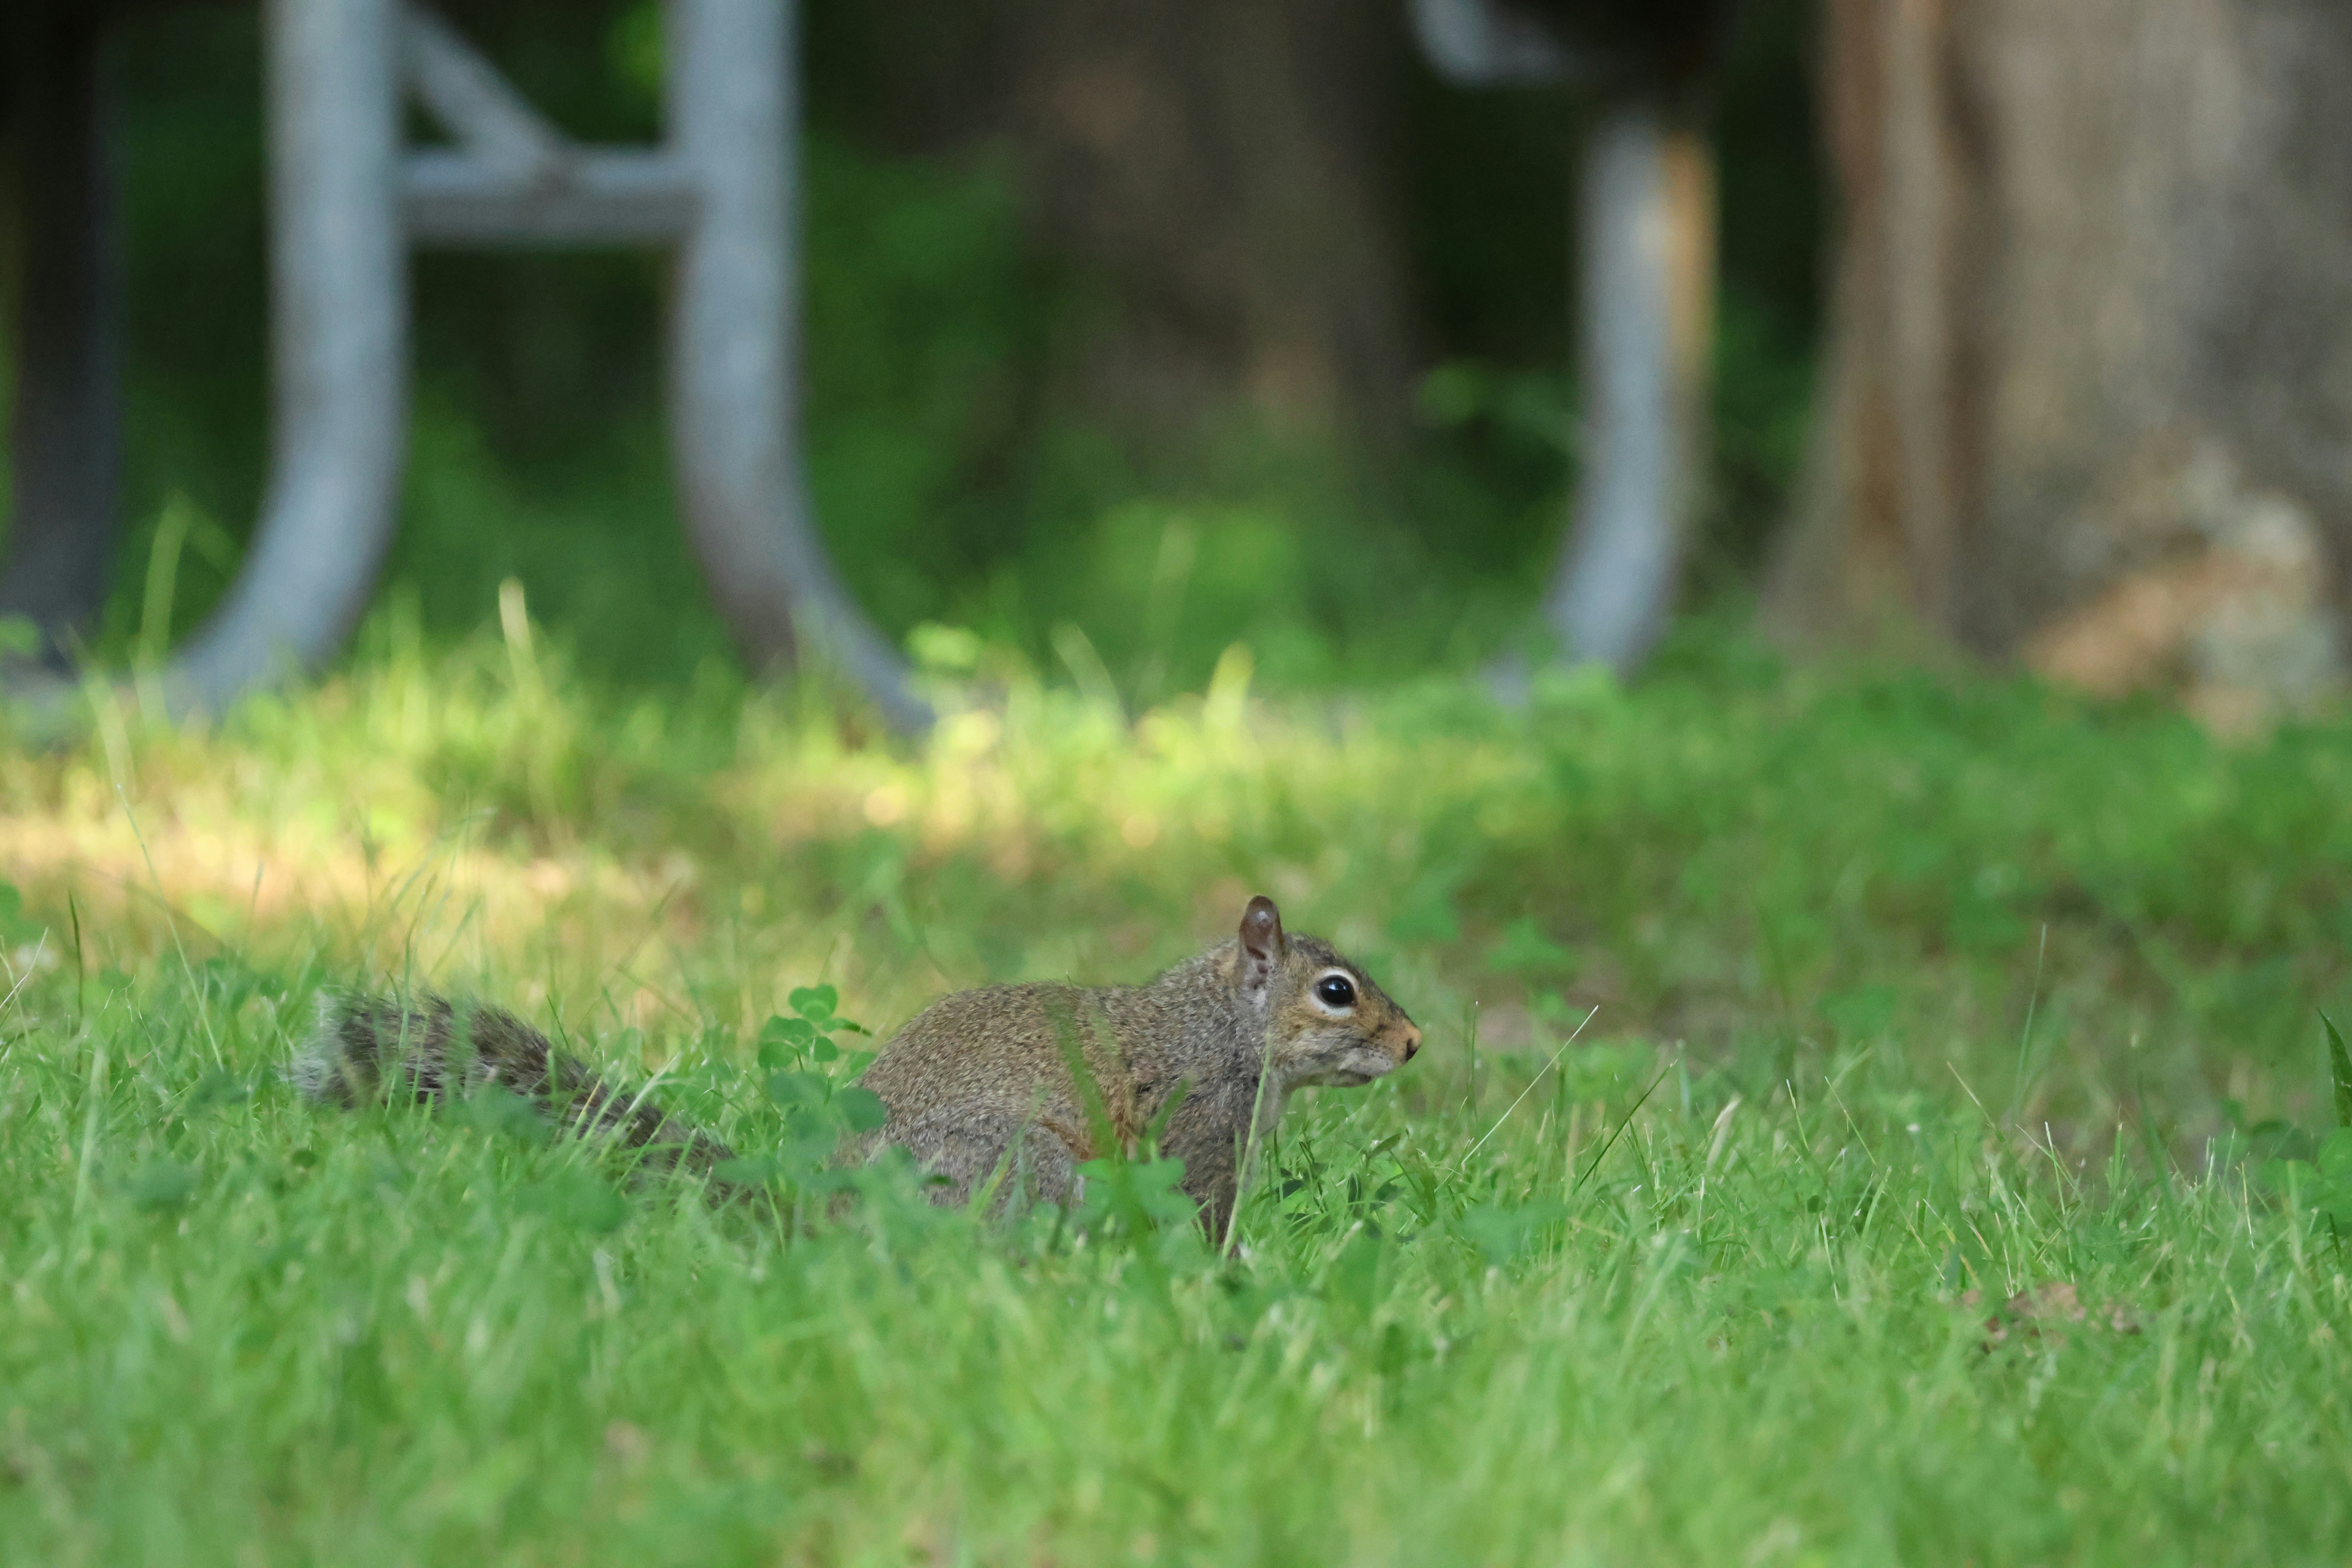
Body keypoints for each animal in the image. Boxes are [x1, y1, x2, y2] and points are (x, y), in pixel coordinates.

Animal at [295, 894, 1420, 1236]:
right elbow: (1203, 1216)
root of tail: (820, 1214)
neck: (1223, 1026)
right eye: (1335, 991)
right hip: (1020, 1164)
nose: (1413, 1043)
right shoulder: (1199, 1120)